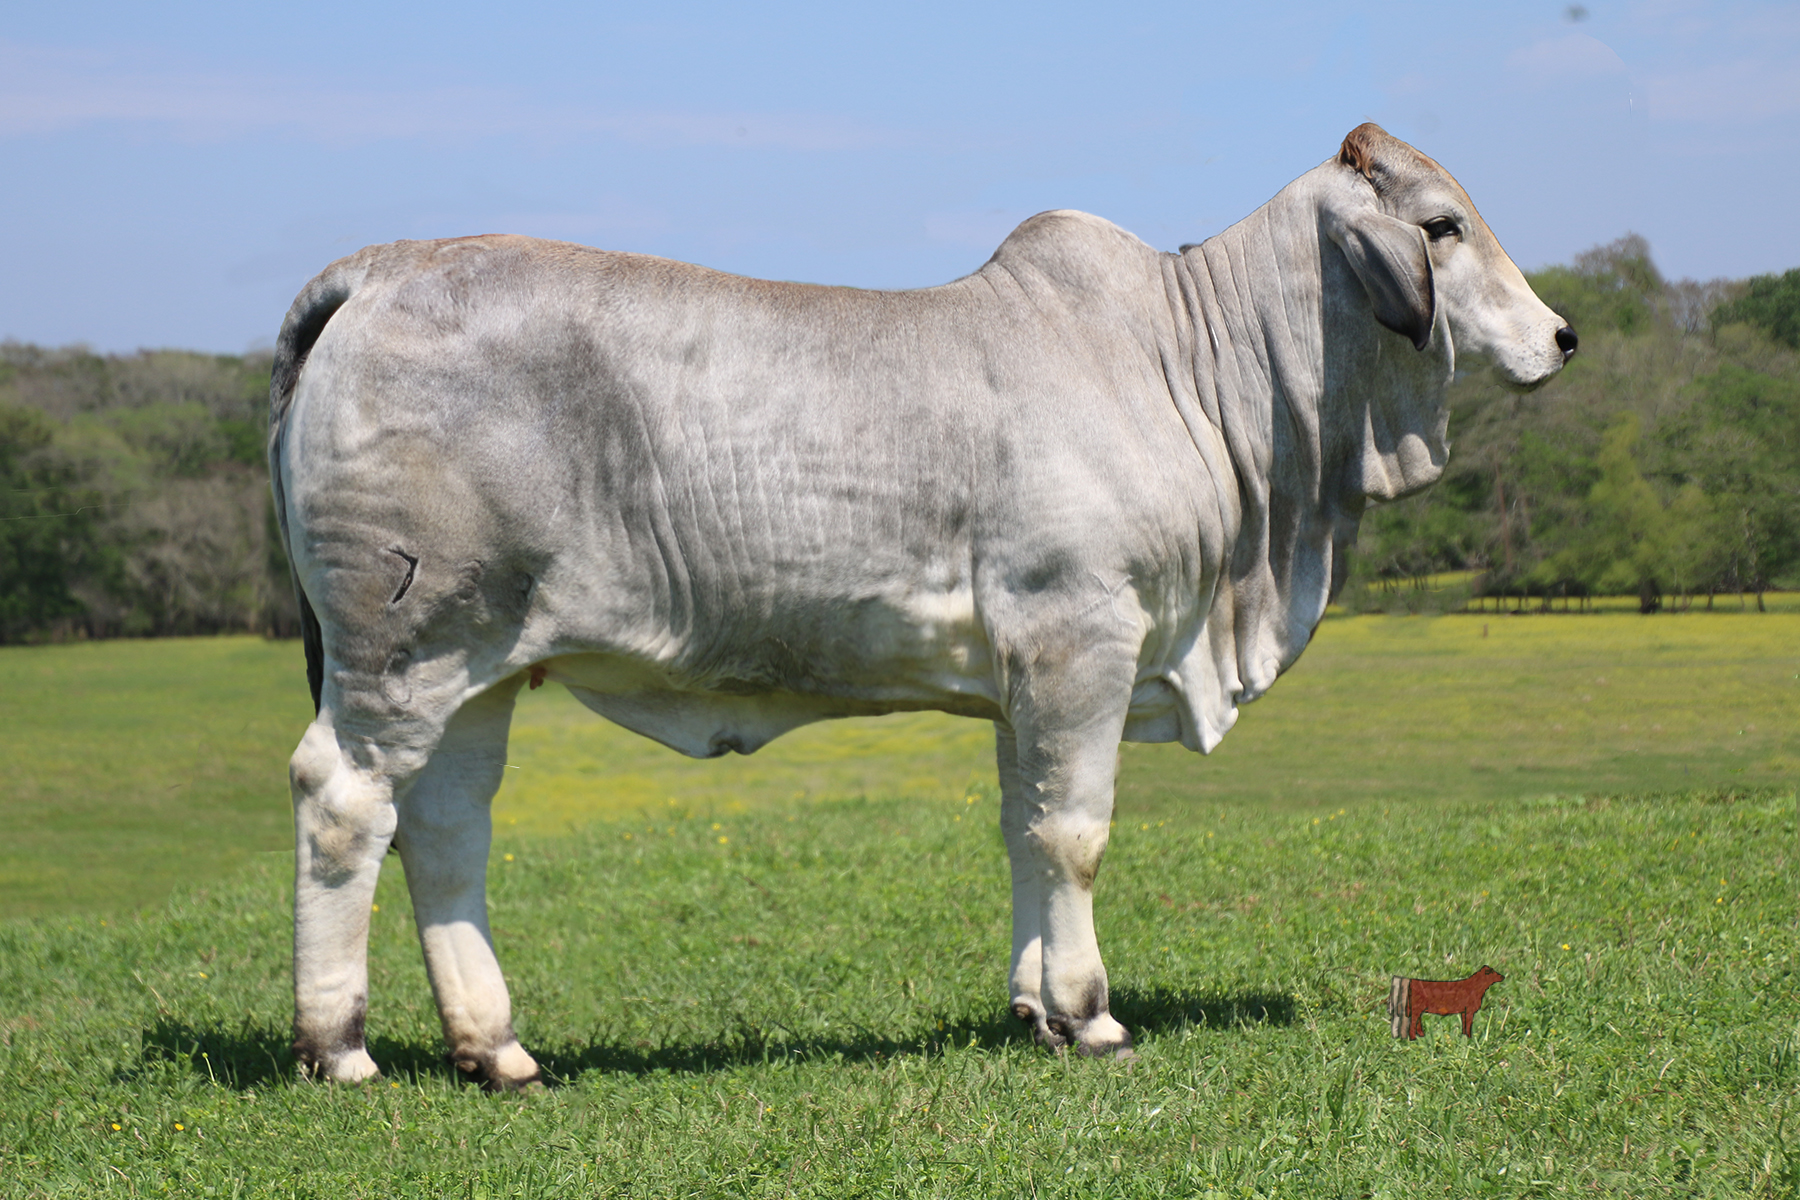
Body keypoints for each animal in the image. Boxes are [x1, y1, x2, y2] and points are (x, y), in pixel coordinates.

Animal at [269, 123, 1574, 1090]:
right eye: (1444, 226)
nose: (1561, 335)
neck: (1195, 371)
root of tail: (376, 267)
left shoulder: (1027, 681)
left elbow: (1022, 827)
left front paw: (1033, 1006)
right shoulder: (1081, 638)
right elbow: (1076, 832)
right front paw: (1091, 1015)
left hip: (478, 670)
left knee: (447, 829)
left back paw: (496, 1048)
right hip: (402, 649)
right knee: (344, 805)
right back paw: (340, 1047)